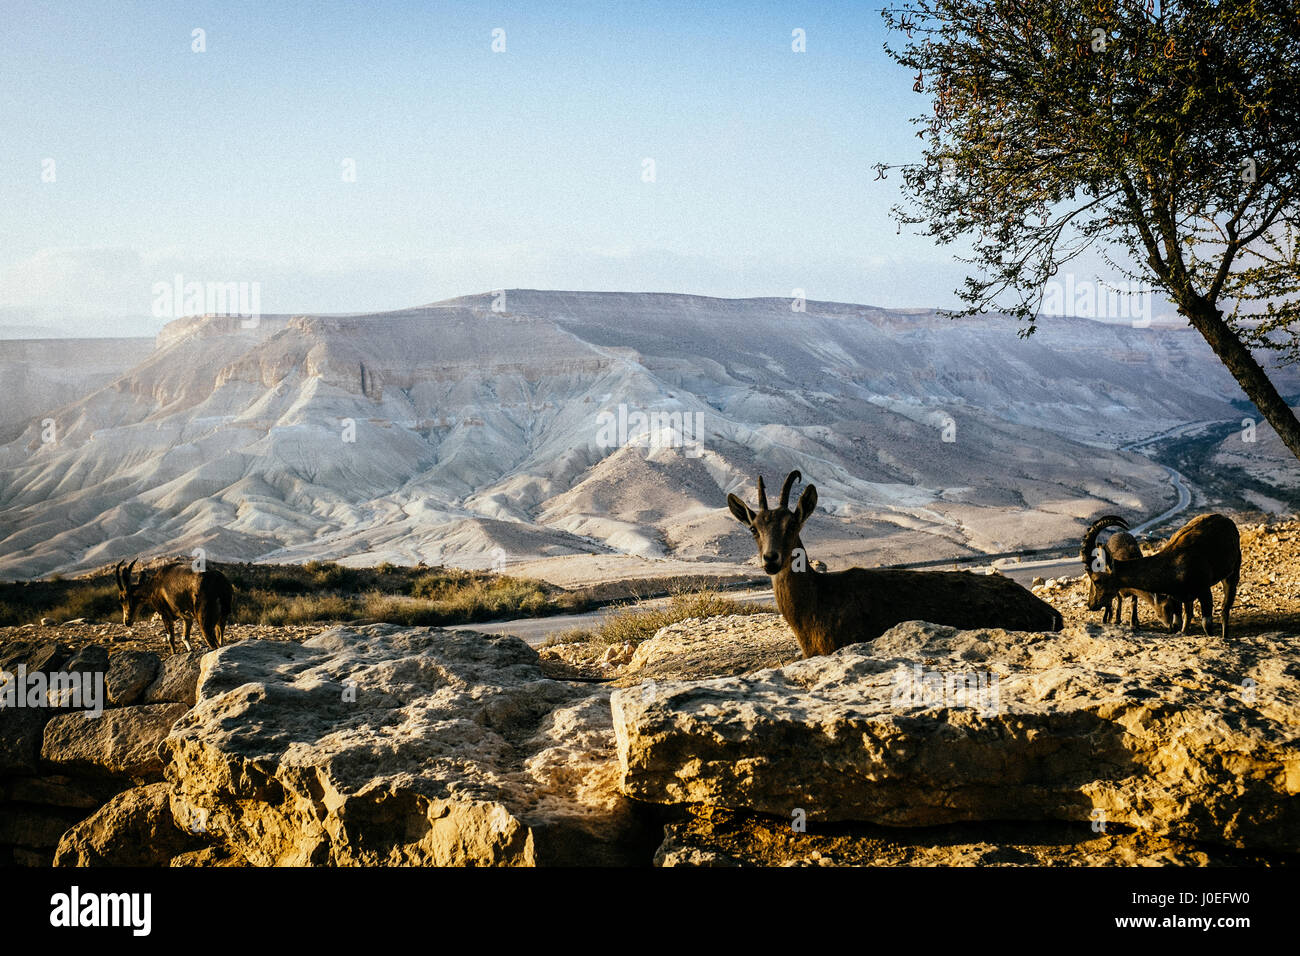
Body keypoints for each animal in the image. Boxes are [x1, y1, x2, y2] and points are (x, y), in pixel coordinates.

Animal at [1082, 513, 1240, 639]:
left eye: (1097, 580)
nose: (1091, 604)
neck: (1172, 565)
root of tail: (1226, 519)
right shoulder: (1176, 598)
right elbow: (1177, 622)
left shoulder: (1204, 590)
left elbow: (1206, 624)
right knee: (1189, 614)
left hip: (1233, 572)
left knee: (1225, 609)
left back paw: (1225, 636)